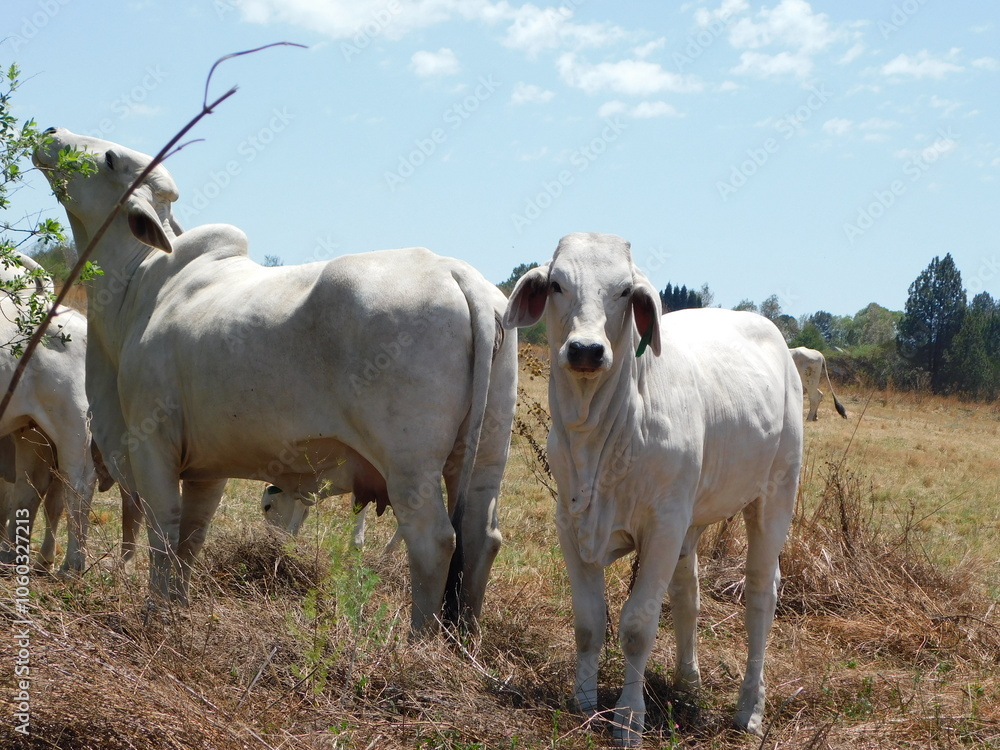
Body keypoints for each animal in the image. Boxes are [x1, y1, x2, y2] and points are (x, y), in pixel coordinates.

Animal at [35, 128, 517, 633]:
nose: (50, 133)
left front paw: (155, 612)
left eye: (110, 159)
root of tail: (456, 273)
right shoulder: (208, 464)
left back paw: (420, 642)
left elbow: (163, 530)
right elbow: (192, 535)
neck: (139, 287)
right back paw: (462, 640)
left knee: (435, 541)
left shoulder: (152, 442)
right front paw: (177, 608)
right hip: (485, 457)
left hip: (410, 466)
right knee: (482, 538)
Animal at [502, 233, 803, 746]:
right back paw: (687, 682)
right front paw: (583, 703)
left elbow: (637, 626)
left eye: (625, 291)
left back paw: (750, 709)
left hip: (774, 495)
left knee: (762, 593)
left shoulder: (662, 526)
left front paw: (628, 719)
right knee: (688, 591)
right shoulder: (571, 522)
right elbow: (589, 621)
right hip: (691, 517)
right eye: (558, 284)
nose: (586, 349)